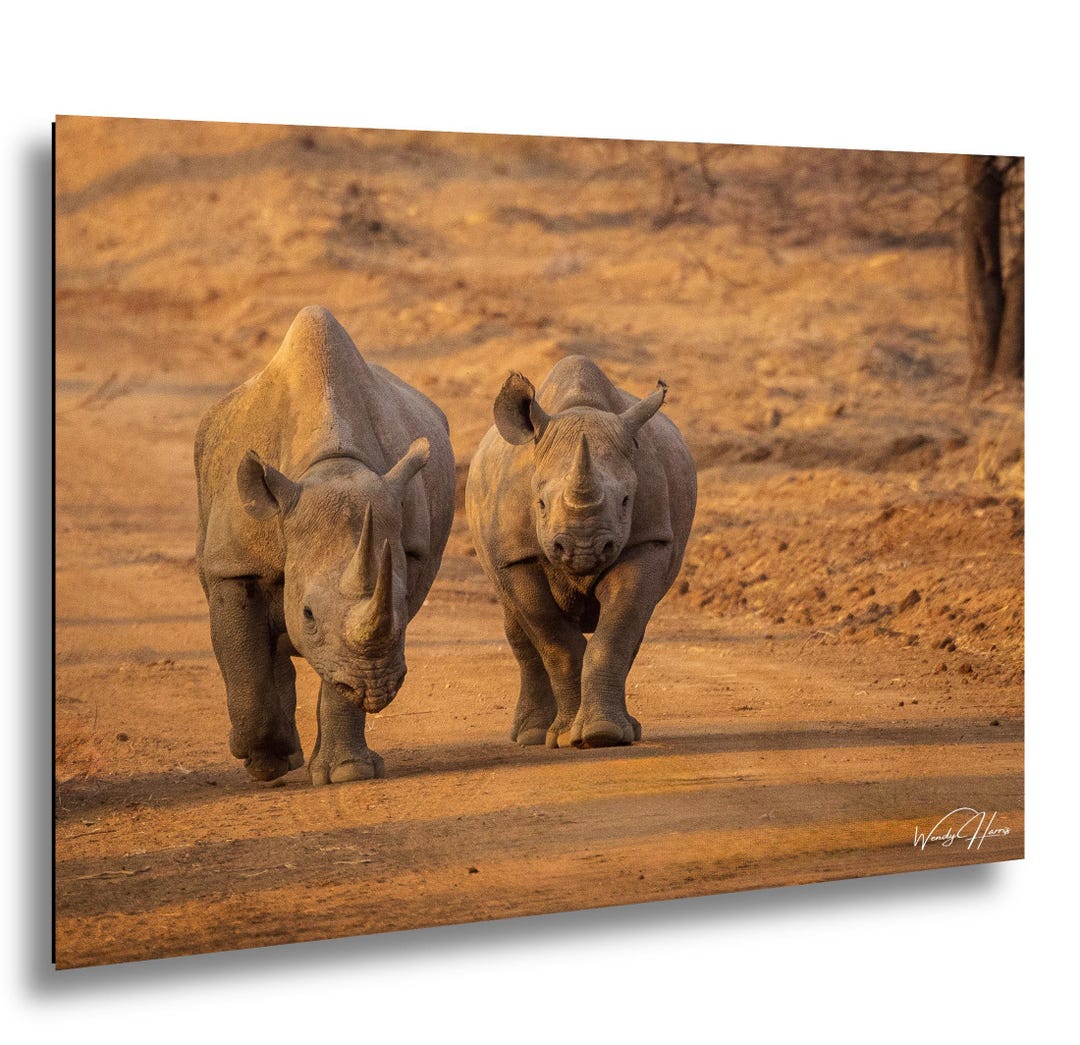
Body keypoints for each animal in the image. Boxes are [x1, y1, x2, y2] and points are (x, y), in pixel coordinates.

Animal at [195, 306, 454, 785]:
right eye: (308, 614)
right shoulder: (233, 564)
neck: (330, 467)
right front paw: (267, 761)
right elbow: (243, 659)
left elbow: (341, 669)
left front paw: (349, 772)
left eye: (404, 603)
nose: (376, 687)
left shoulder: (404, 554)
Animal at [466, 356, 696, 748]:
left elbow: (616, 631)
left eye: (626, 500)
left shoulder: (648, 541)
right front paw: (562, 737)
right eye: (540, 504)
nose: (582, 548)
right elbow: (554, 640)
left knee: (635, 627)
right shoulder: (516, 555)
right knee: (516, 623)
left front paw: (602, 735)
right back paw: (532, 735)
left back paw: (627, 729)